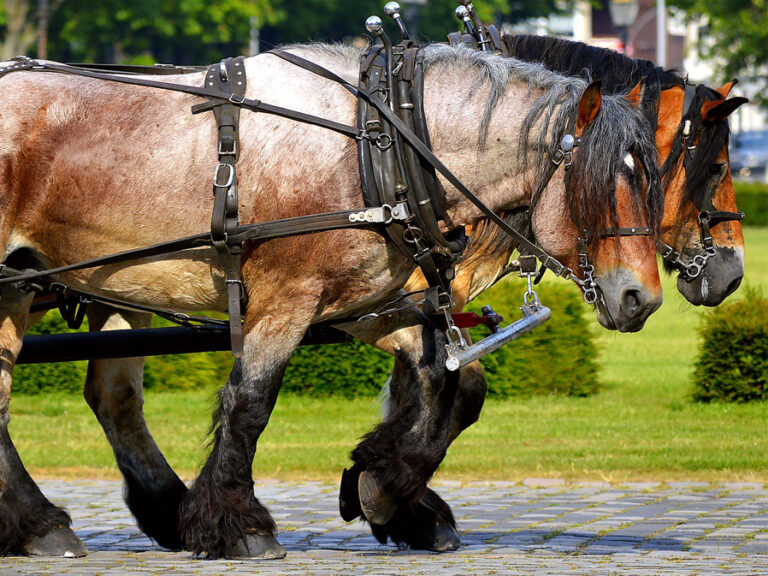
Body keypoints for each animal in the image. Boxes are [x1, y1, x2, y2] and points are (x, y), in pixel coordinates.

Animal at [0, 42, 662, 559]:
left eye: (653, 183)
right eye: (598, 187)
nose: (643, 298)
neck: (378, 144)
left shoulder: (366, 305)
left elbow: (447, 384)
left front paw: (383, 486)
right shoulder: (288, 300)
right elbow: (249, 404)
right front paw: (238, 524)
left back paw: (61, 521)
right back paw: (45, 523)